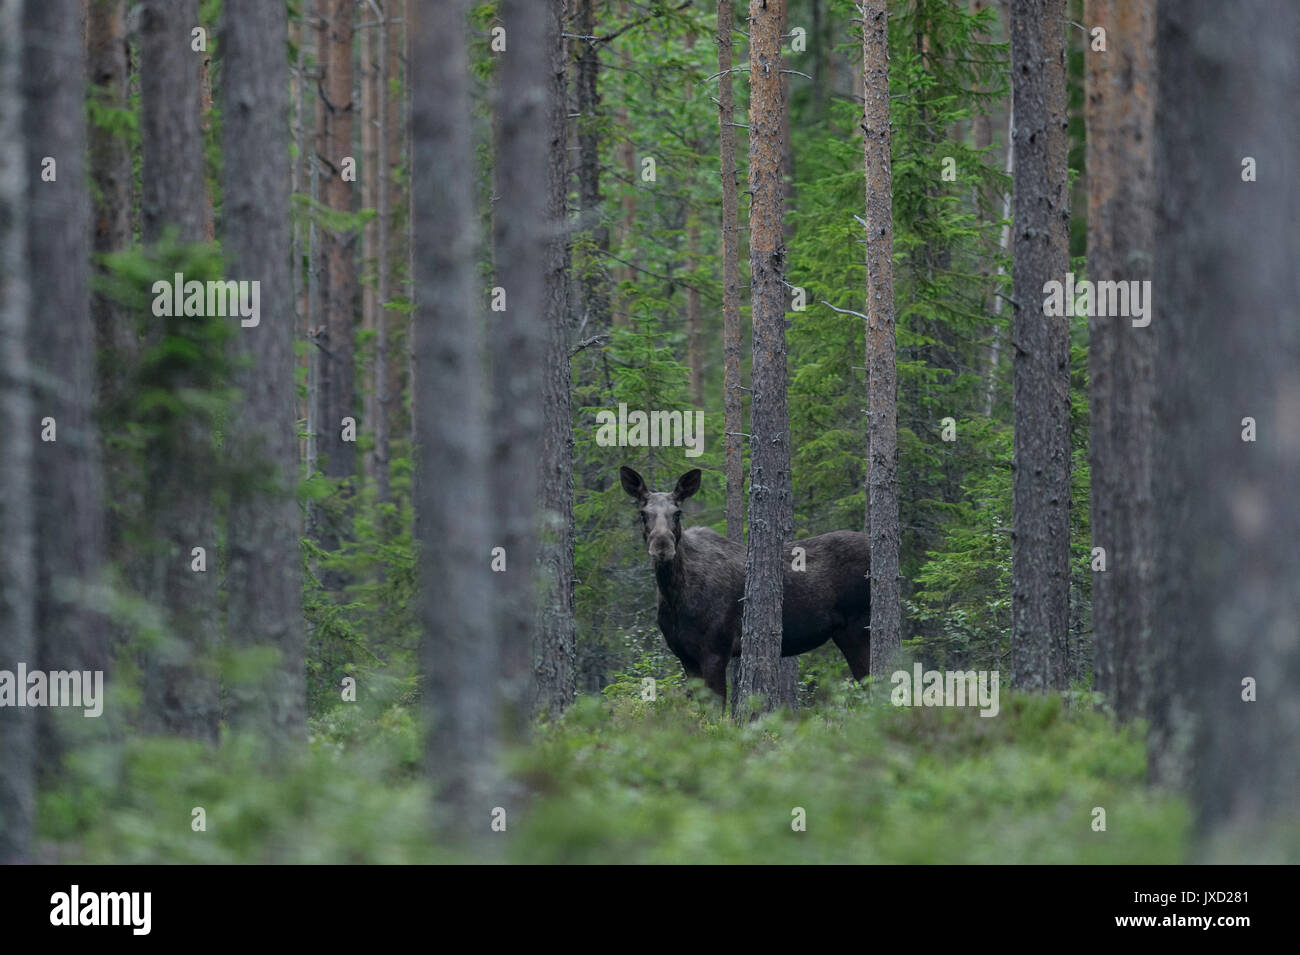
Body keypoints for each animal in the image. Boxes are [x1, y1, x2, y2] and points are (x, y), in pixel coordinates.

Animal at [620, 466, 871, 704]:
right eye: (643, 513)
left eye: (678, 513)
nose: (662, 546)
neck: (675, 596)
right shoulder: (685, 656)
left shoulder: (716, 650)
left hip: (857, 628)